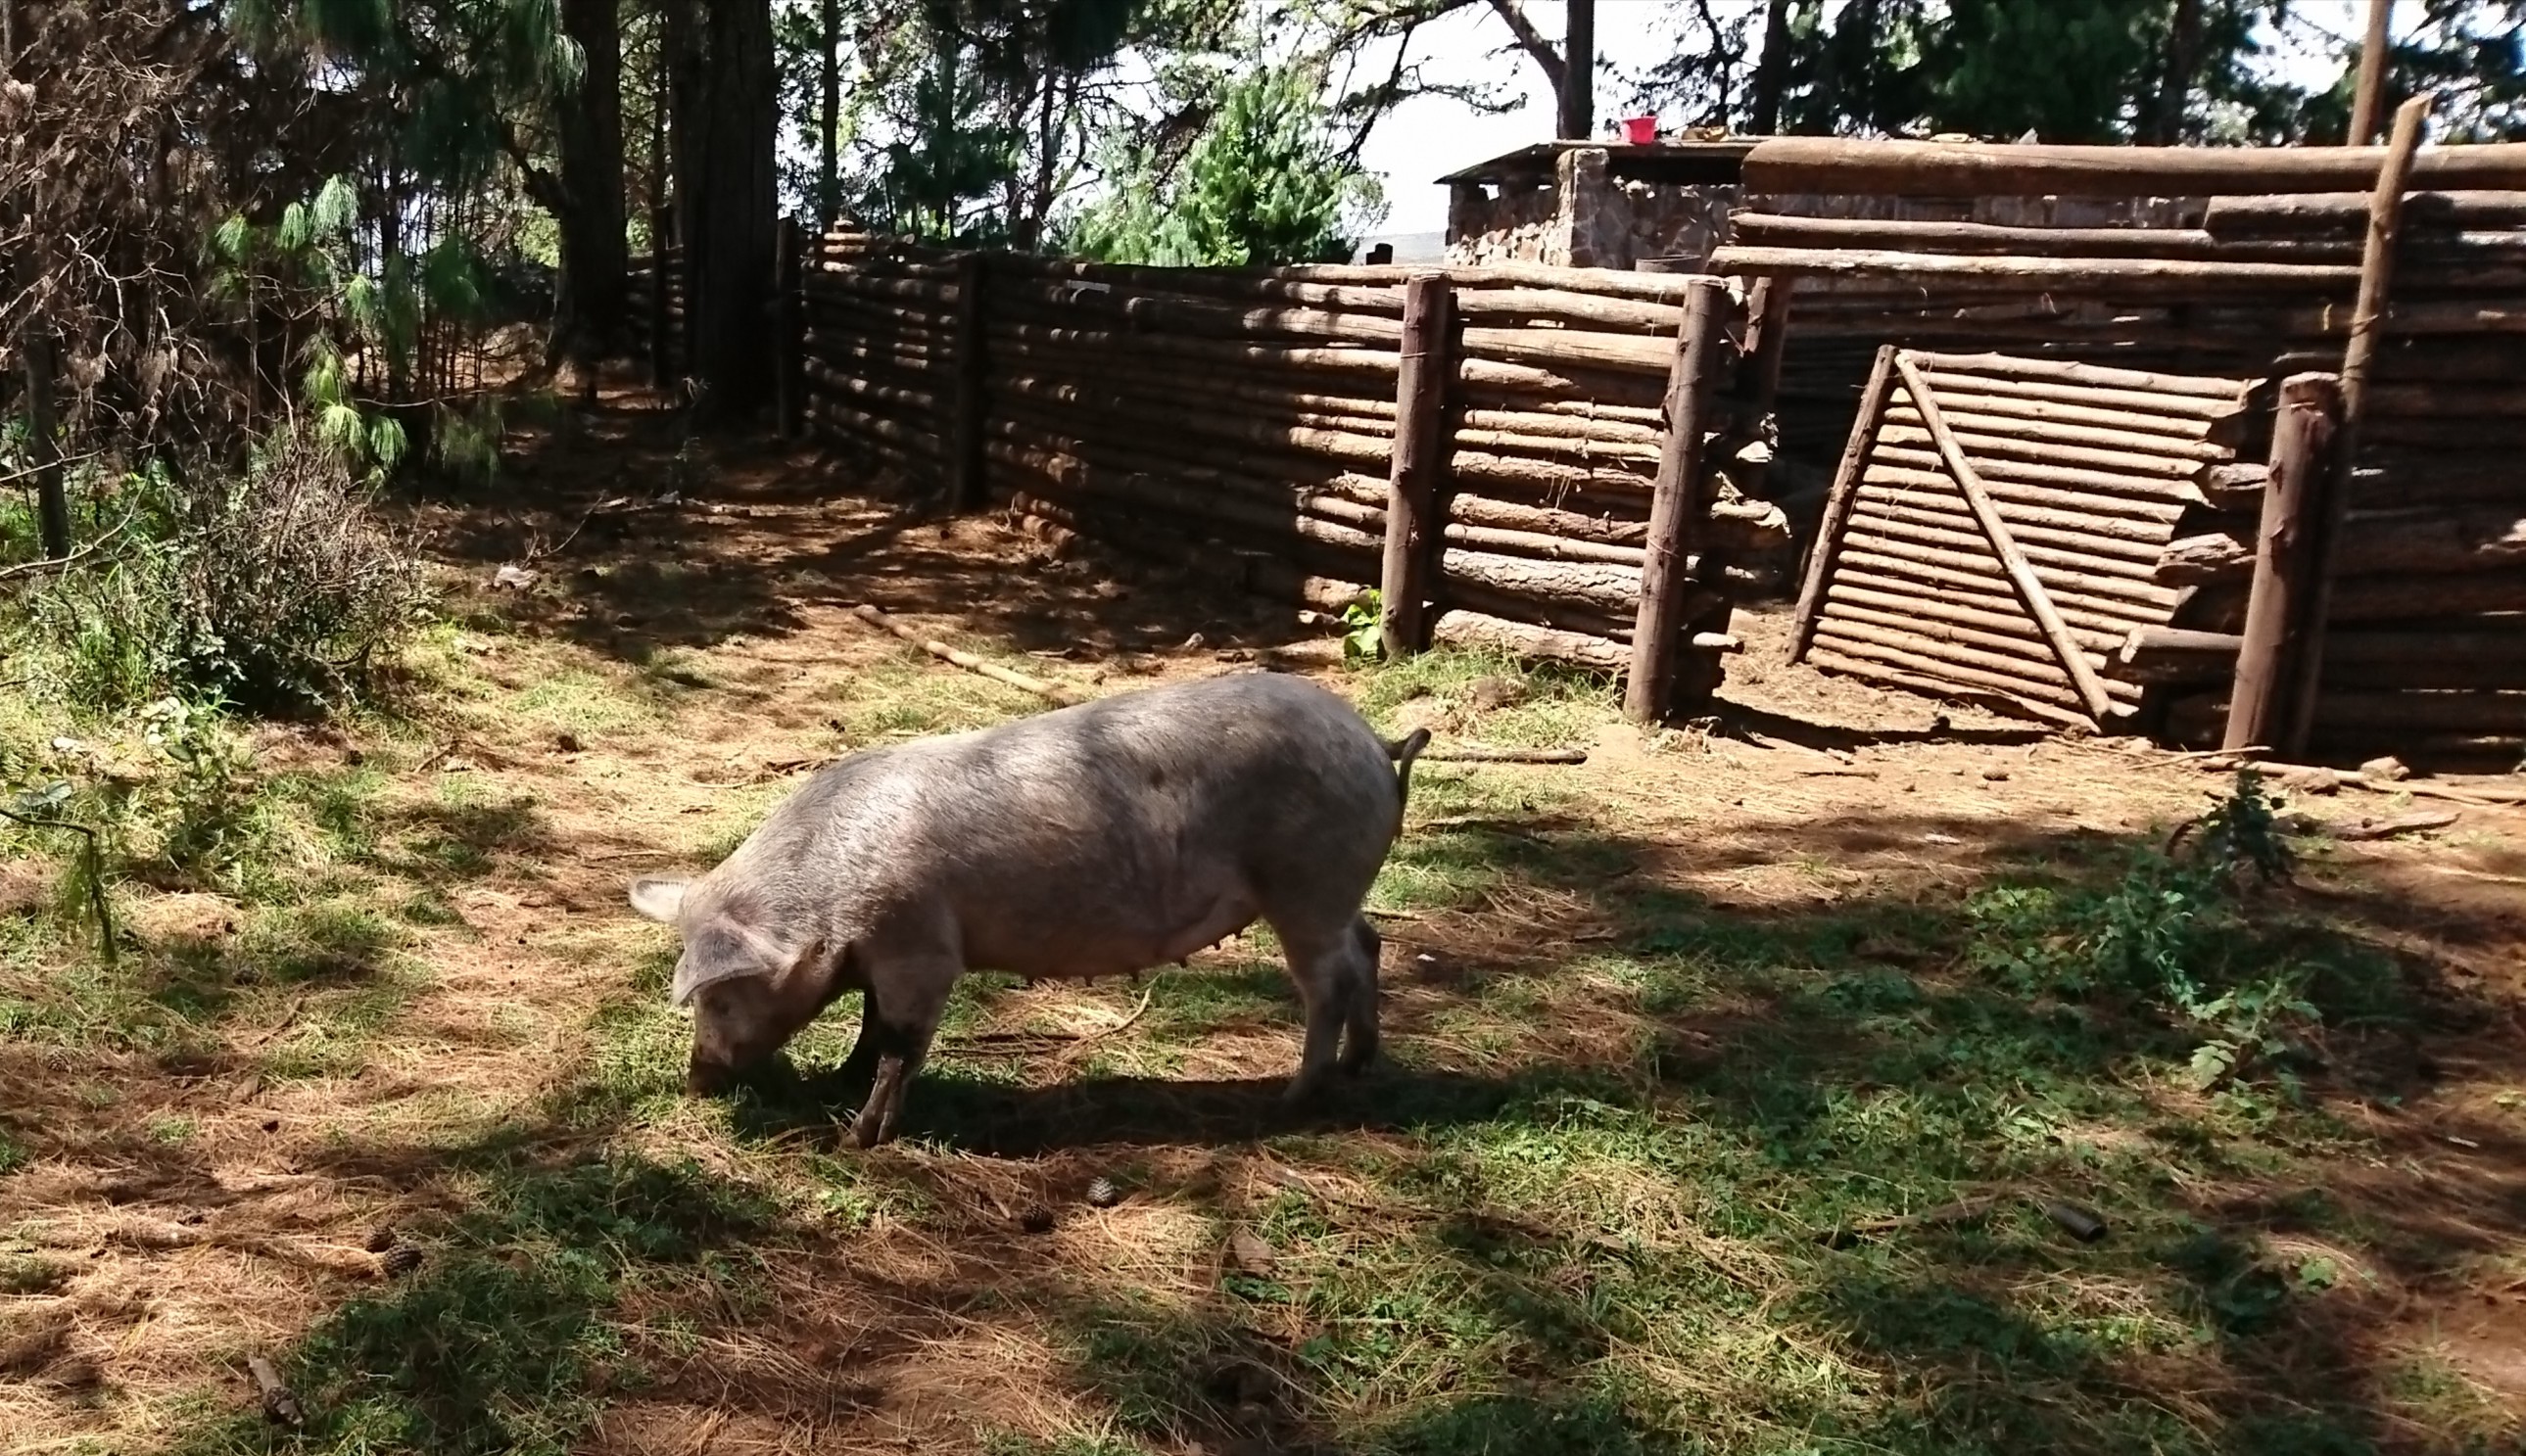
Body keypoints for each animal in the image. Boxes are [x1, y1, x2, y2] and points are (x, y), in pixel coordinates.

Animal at [625, 672, 1431, 1148]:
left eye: (720, 998)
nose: (697, 1079)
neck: (825, 899)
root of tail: (1373, 740)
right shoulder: (883, 956)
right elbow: (869, 1026)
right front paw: (836, 1085)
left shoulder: (922, 951)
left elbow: (900, 1043)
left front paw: (857, 1139)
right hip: (1336, 893)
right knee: (1369, 945)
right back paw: (1358, 1066)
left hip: (1306, 885)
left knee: (1328, 981)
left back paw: (1287, 1104)